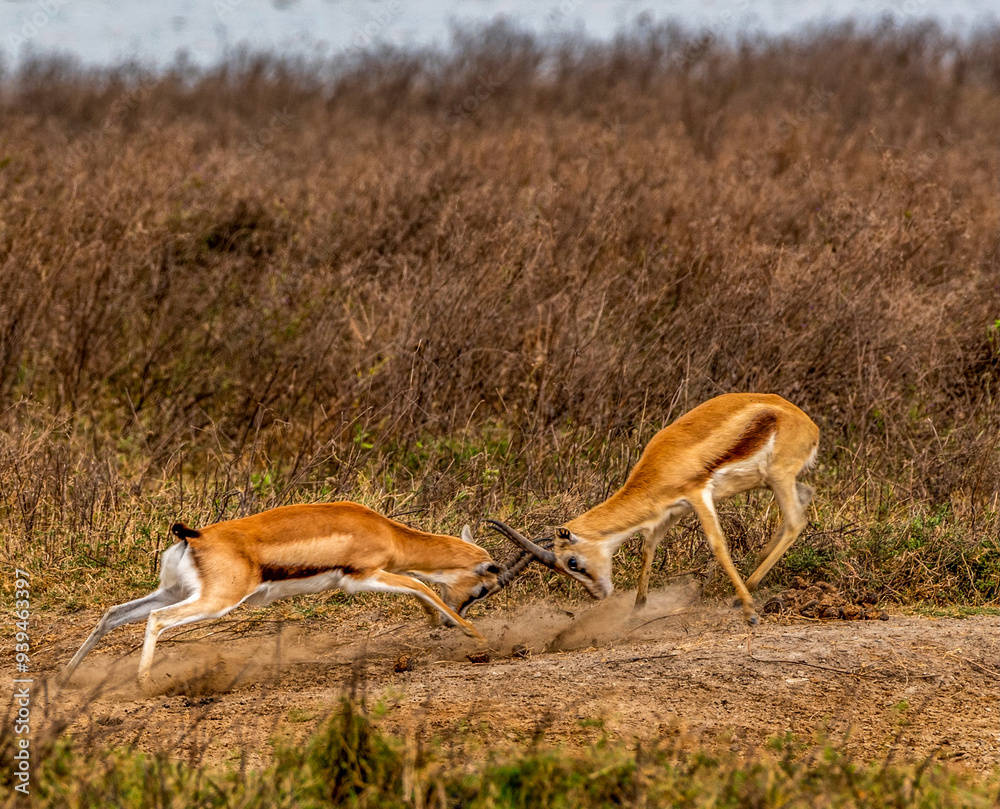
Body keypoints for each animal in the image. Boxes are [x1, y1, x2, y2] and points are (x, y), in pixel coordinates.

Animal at [60, 502, 506, 685]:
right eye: (485, 587)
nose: (460, 610)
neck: (385, 531)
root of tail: (195, 536)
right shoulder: (360, 577)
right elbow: (419, 584)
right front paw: (475, 635)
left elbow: (418, 587)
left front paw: (438, 621)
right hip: (214, 602)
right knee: (157, 620)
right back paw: (145, 683)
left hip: (172, 591)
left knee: (113, 614)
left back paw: (67, 676)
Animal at [488, 393, 819, 625]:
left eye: (572, 562)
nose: (598, 595)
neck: (658, 467)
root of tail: (808, 423)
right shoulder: (671, 510)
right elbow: (648, 546)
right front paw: (637, 610)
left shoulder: (698, 495)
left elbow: (717, 544)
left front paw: (750, 613)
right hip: (773, 481)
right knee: (806, 496)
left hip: (778, 476)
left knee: (796, 521)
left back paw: (744, 599)